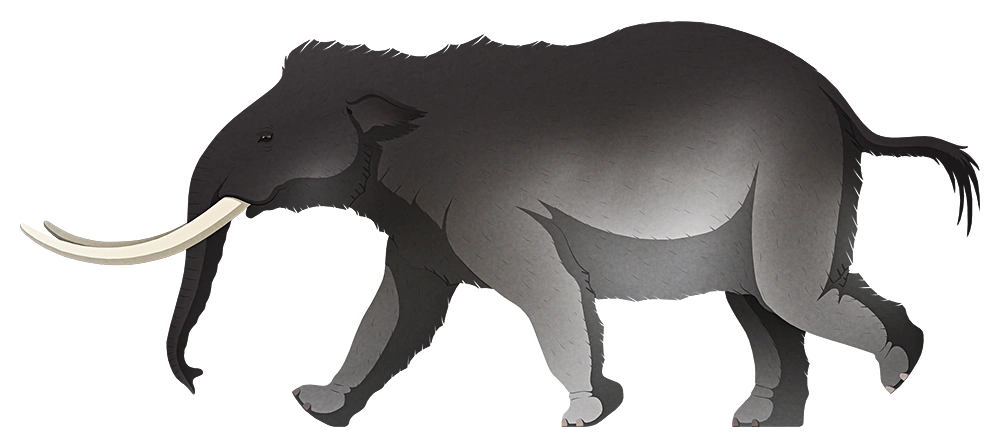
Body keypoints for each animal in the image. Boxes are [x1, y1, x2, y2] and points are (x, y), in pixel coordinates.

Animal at [22, 17, 985, 427]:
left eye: (264, 135)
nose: (194, 378)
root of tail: (838, 101)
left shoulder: (486, 200)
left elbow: (539, 284)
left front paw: (580, 415)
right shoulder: (412, 213)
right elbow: (397, 308)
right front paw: (321, 399)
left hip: (793, 164)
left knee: (789, 294)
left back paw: (895, 378)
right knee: (751, 301)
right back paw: (753, 412)